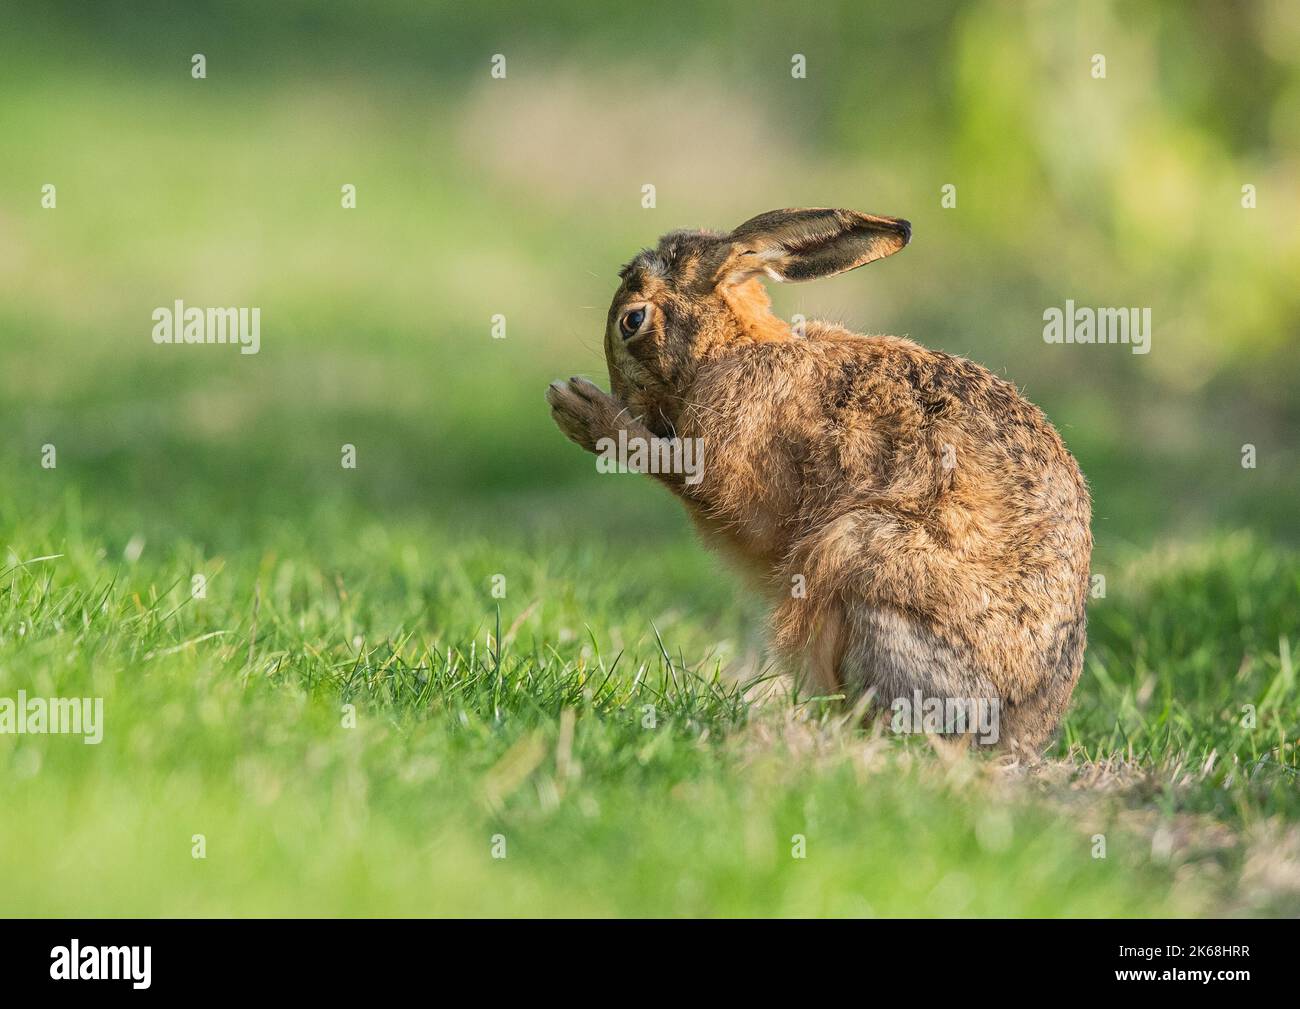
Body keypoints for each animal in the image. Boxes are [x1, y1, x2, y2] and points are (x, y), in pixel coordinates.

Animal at [546, 208, 1092, 755]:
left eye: (632, 320)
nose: (624, 400)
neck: (731, 349)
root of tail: (1018, 731)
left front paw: (579, 409)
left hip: (863, 559)